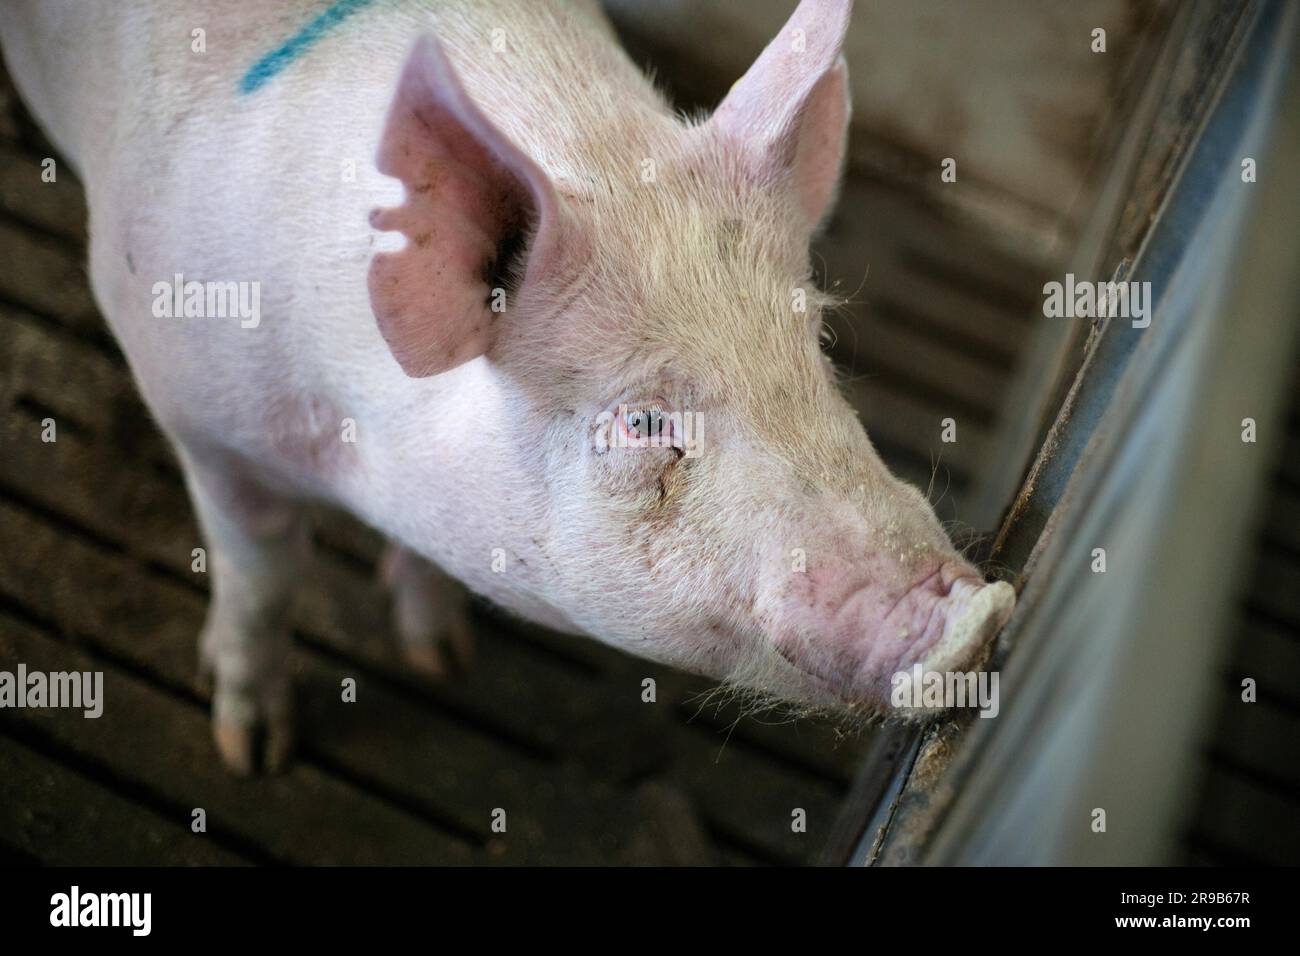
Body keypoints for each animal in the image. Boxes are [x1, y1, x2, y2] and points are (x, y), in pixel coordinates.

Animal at [0, 0, 1014, 774]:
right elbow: (263, 576)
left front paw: (438, 656)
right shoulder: (201, 418)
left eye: (816, 342)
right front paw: (253, 753)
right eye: (643, 423)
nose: (979, 613)